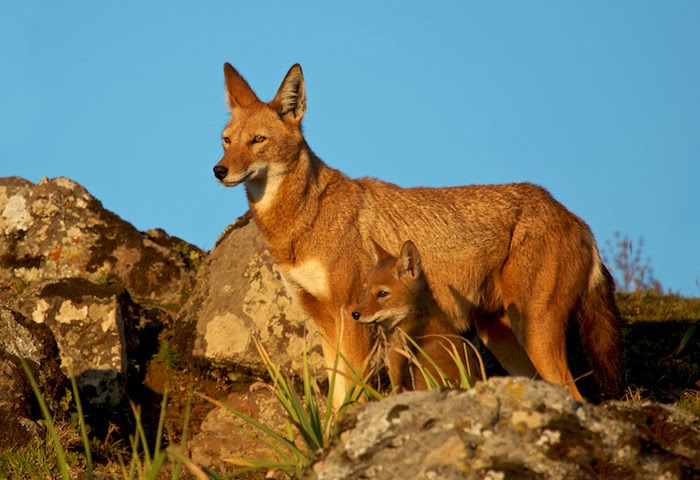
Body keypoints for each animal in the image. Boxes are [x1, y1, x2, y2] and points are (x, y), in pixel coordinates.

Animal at [213, 62, 623, 405]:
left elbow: (351, 399)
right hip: (503, 340)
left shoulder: (353, 321)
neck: (303, 221)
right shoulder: (326, 324)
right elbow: (333, 405)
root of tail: (575, 218)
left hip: (534, 334)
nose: (218, 170)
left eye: (258, 140)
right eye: (226, 140)